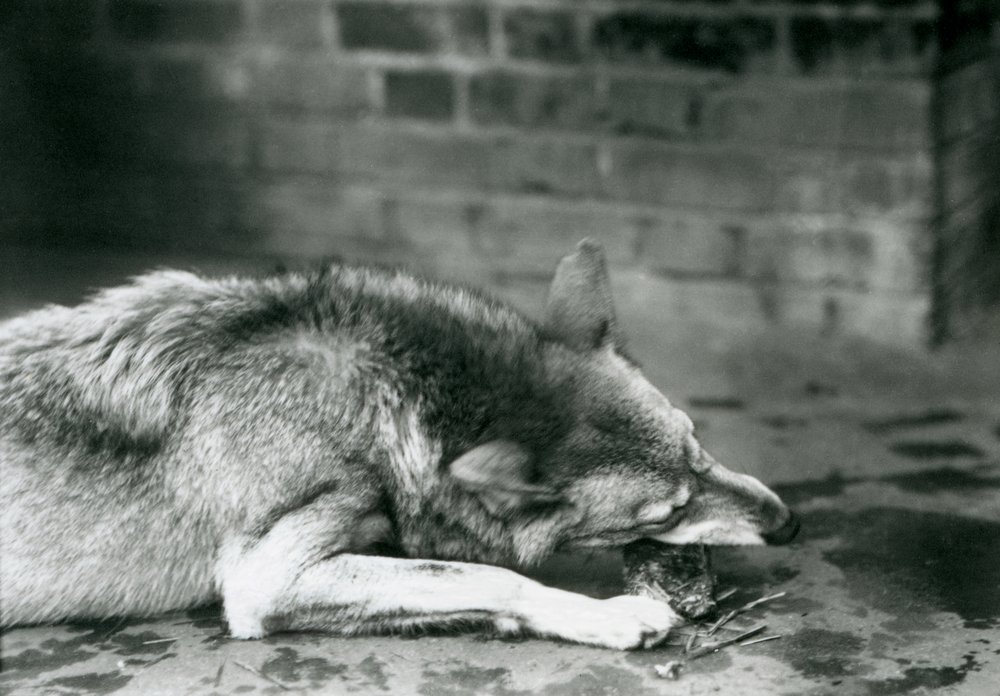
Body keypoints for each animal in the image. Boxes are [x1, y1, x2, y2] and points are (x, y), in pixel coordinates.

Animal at [0, 240, 798, 649]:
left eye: (699, 446)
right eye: (665, 513)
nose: (788, 524)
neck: (379, 393)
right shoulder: (266, 580)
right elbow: (490, 576)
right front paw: (606, 615)